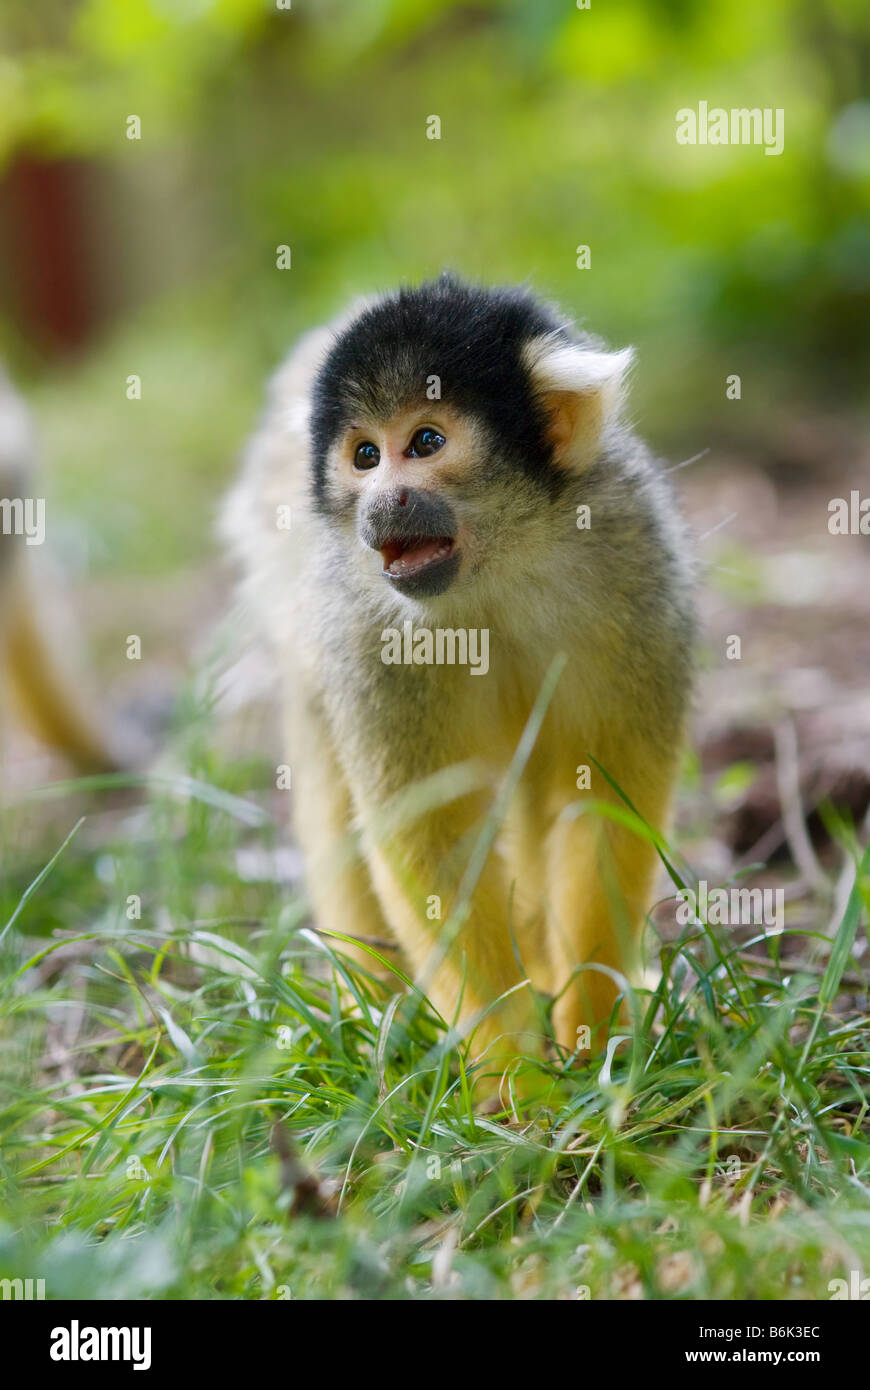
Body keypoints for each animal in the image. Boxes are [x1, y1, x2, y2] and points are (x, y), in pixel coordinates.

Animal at [221, 274, 694, 1096]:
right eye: (365, 455)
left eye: (425, 444)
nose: (384, 501)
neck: (494, 572)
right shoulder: (363, 625)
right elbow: (428, 838)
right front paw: (514, 1073)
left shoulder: (629, 557)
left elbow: (602, 798)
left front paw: (591, 1031)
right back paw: (368, 1008)